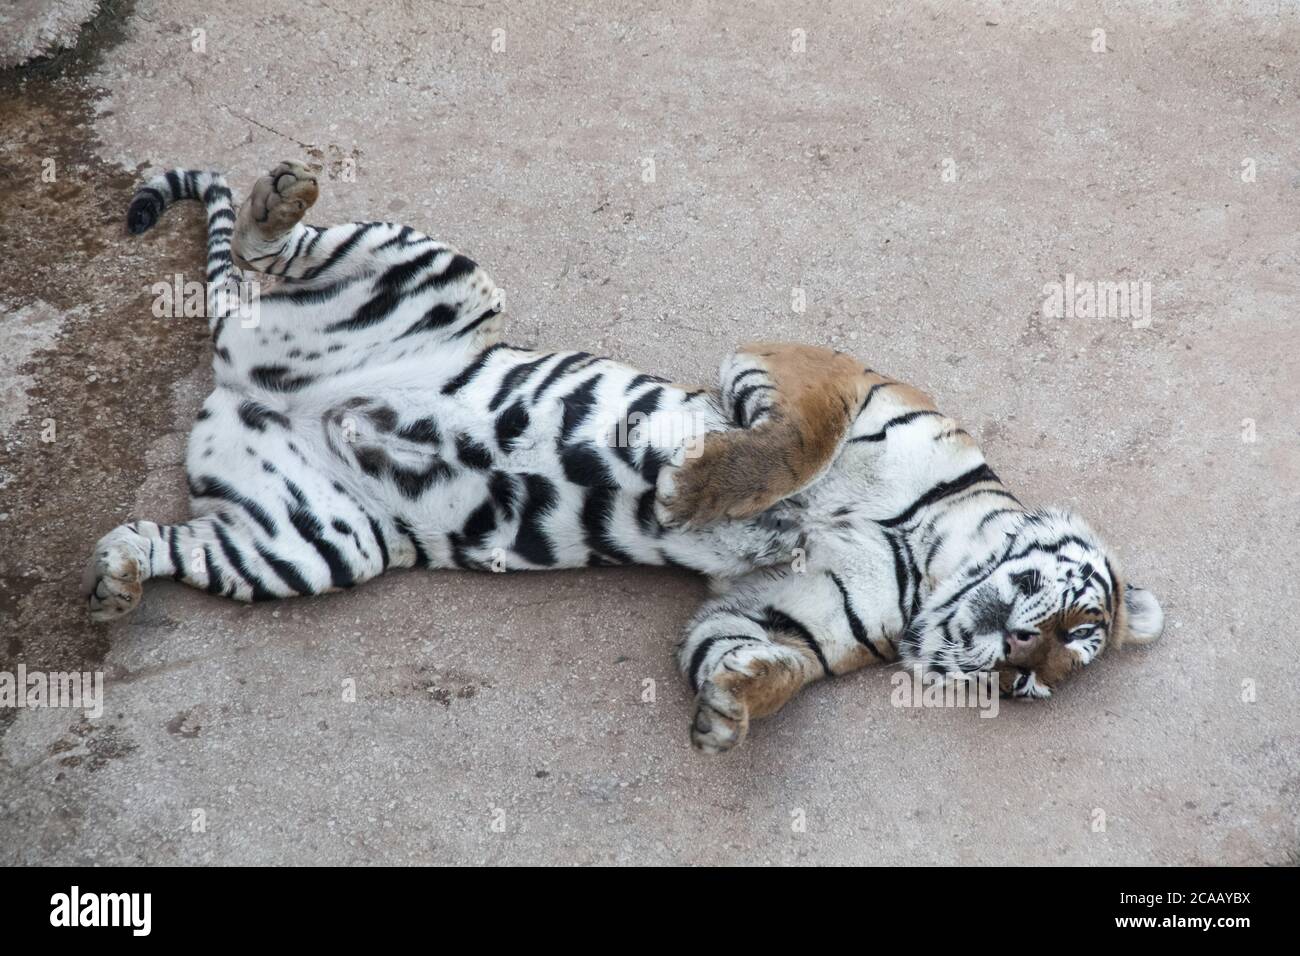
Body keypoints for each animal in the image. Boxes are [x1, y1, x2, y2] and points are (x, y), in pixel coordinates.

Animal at [83, 160, 1164, 753]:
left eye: (1039, 681)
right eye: (1072, 626)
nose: (1017, 656)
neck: (929, 559)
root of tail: (241, 374)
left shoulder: (775, 612)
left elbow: (760, 658)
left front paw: (730, 712)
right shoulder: (818, 369)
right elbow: (788, 447)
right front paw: (691, 491)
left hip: (309, 542)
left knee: (168, 539)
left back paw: (112, 585)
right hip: (434, 273)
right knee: (276, 244)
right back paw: (281, 191)